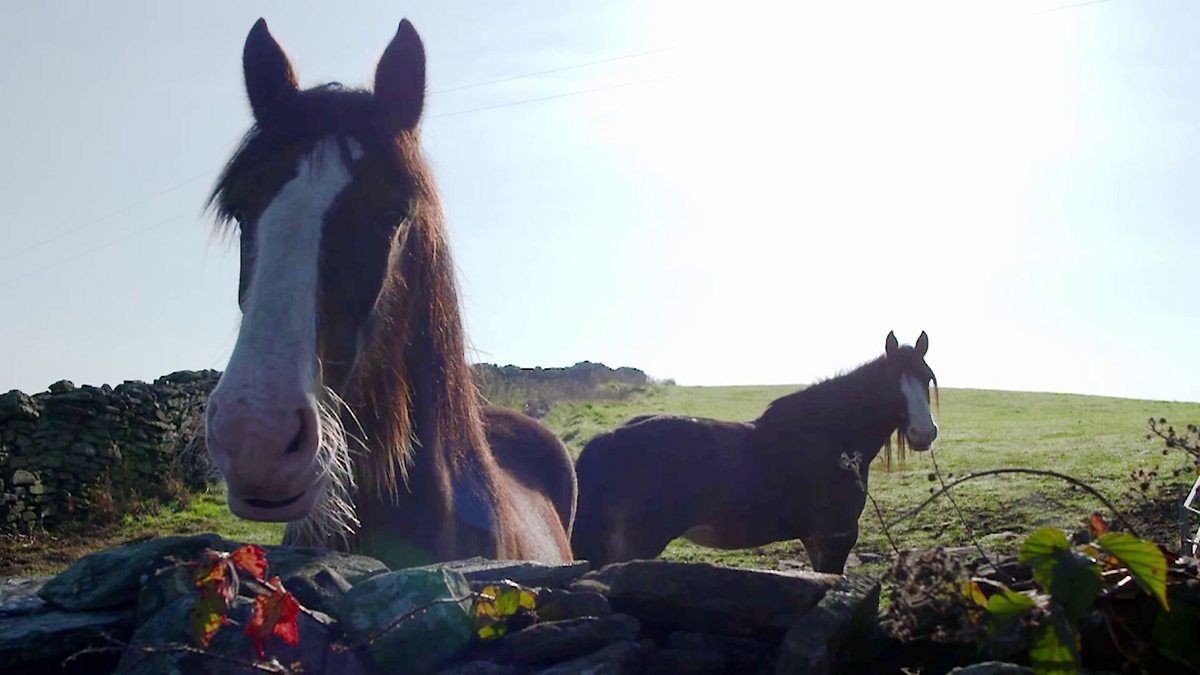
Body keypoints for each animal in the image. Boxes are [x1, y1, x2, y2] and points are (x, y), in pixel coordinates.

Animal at [571, 331, 938, 573]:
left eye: (927, 378)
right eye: (891, 384)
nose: (924, 433)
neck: (829, 438)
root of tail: (608, 438)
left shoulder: (816, 540)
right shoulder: (837, 538)